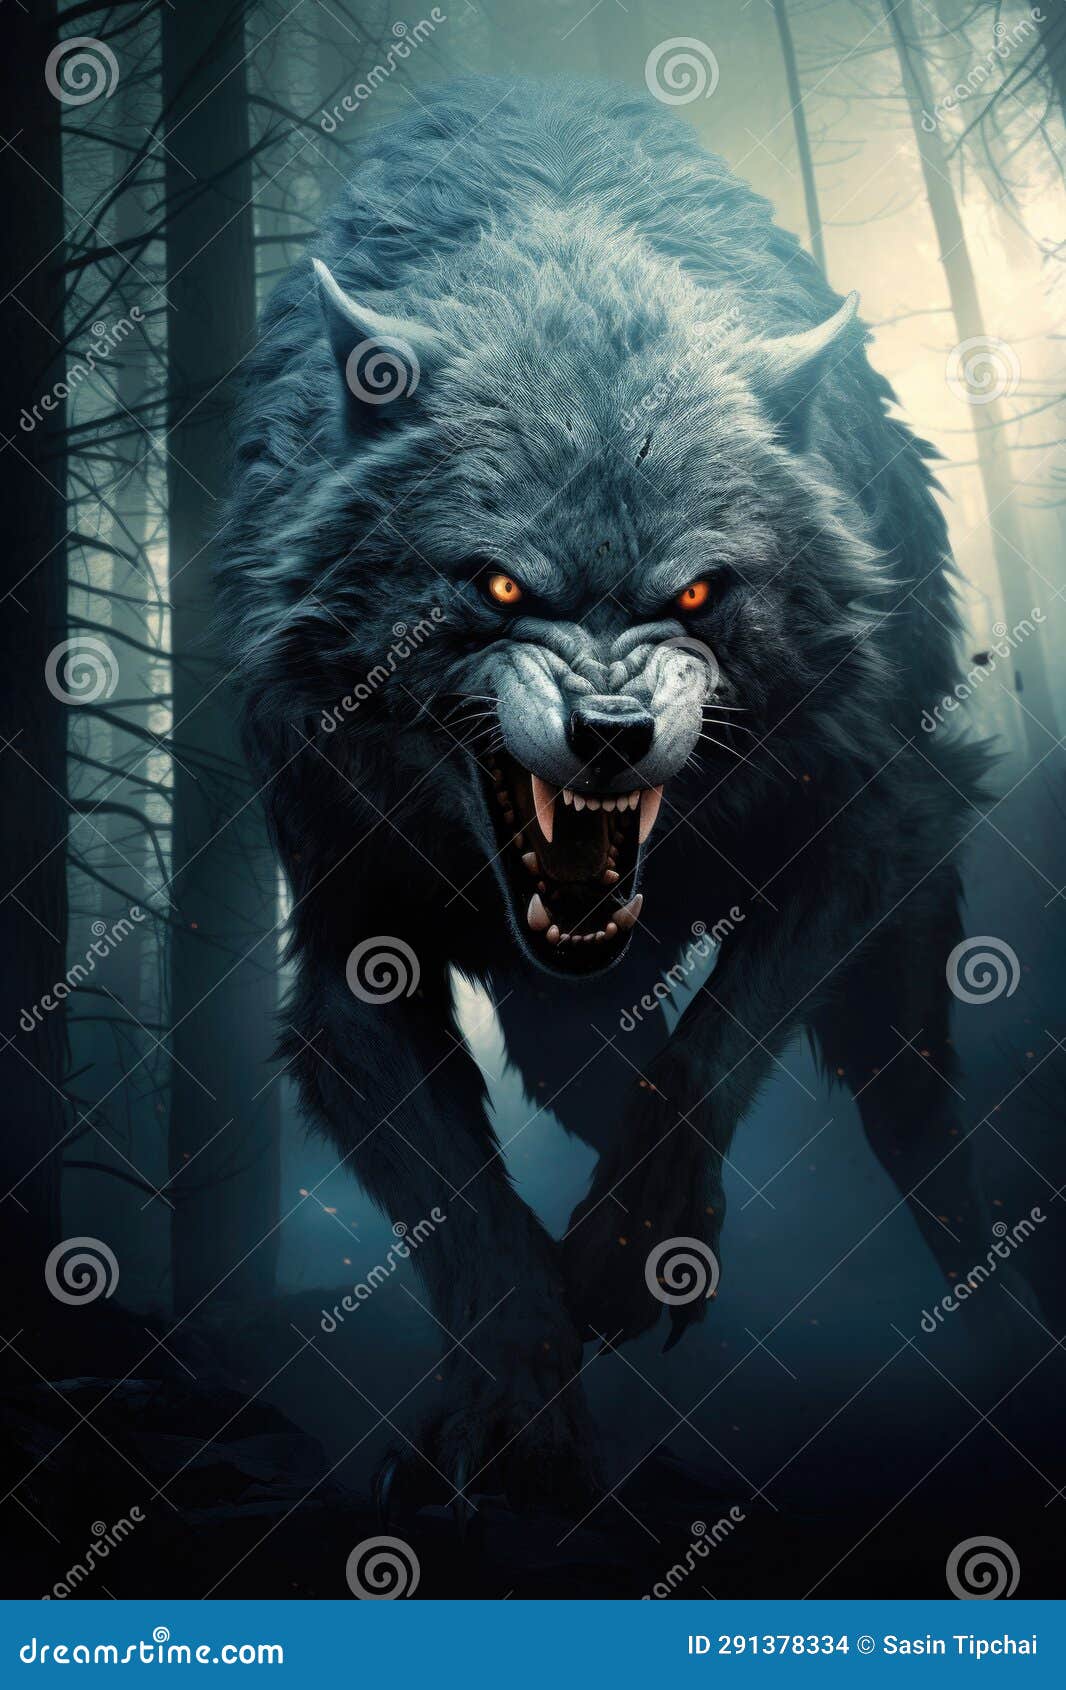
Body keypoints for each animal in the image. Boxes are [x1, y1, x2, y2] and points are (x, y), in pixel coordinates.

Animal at [220, 78, 992, 1510]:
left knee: (919, 1127)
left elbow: (701, 1058)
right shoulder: (347, 950)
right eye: (496, 584)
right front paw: (519, 1408)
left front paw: (635, 1254)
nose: (614, 733)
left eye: (695, 591)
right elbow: (470, 1215)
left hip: (904, 984)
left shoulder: (877, 812)